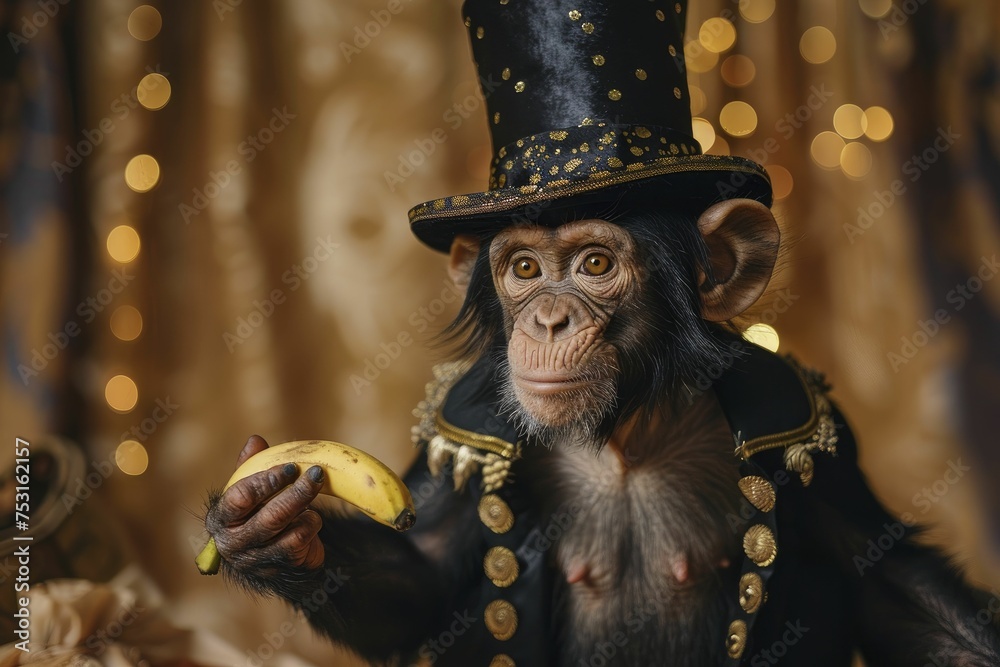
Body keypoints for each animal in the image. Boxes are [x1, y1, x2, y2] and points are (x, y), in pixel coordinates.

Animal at [205, 198, 1000, 666]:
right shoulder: (458, 433)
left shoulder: (819, 444)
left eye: (594, 263)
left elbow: (889, 580)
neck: (625, 434)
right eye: (525, 267)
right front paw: (268, 529)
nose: (548, 319)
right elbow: (422, 576)